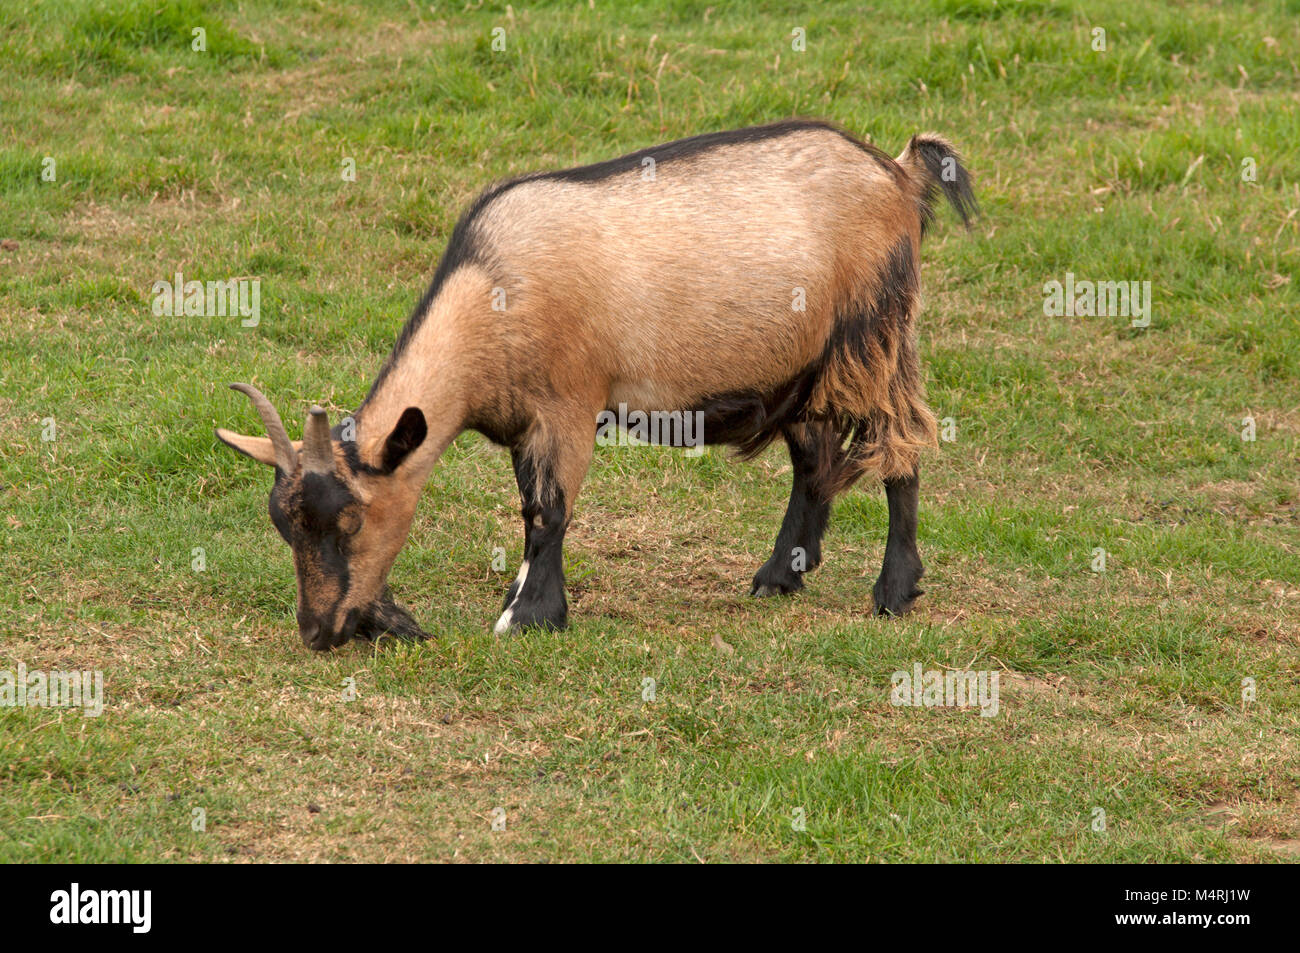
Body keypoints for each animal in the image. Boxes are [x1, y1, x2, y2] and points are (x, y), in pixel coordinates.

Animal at [216, 119, 976, 651]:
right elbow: (529, 508)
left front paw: (530, 618)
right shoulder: (524, 422)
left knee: (900, 445)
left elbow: (548, 512)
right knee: (815, 461)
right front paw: (517, 598)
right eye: (282, 523)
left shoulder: (569, 405)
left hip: (873, 334)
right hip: (801, 363)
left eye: (348, 519)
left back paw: (893, 590)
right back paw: (778, 576)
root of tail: (899, 173)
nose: (319, 632)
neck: (493, 292)